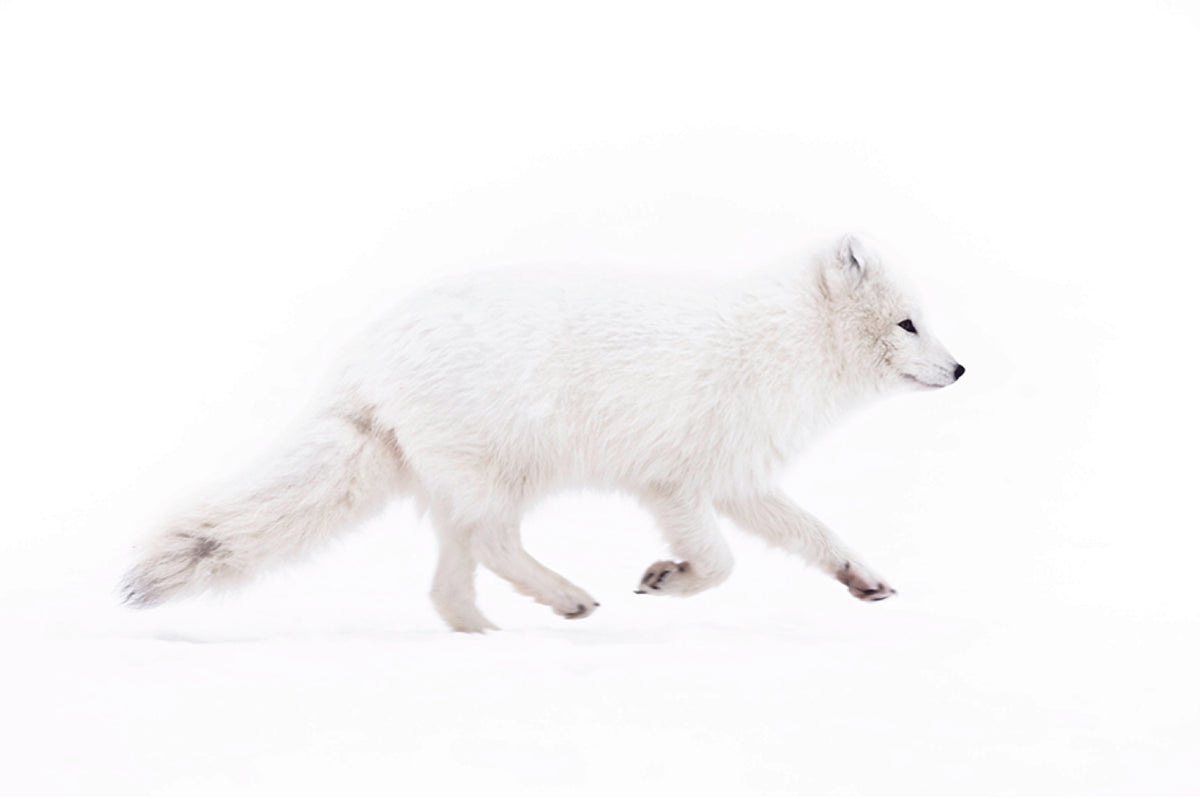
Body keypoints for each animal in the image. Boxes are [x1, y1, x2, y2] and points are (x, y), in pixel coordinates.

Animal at [120, 233, 964, 632]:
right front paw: (667, 578)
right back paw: (567, 599)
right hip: (507, 473)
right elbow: (721, 563)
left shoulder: (740, 479)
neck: (786, 343)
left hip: (458, 488)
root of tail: (364, 359)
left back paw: (491, 635)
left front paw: (864, 579)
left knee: (447, 582)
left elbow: (818, 534)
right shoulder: (677, 481)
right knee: (492, 547)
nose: (960, 369)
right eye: (908, 323)